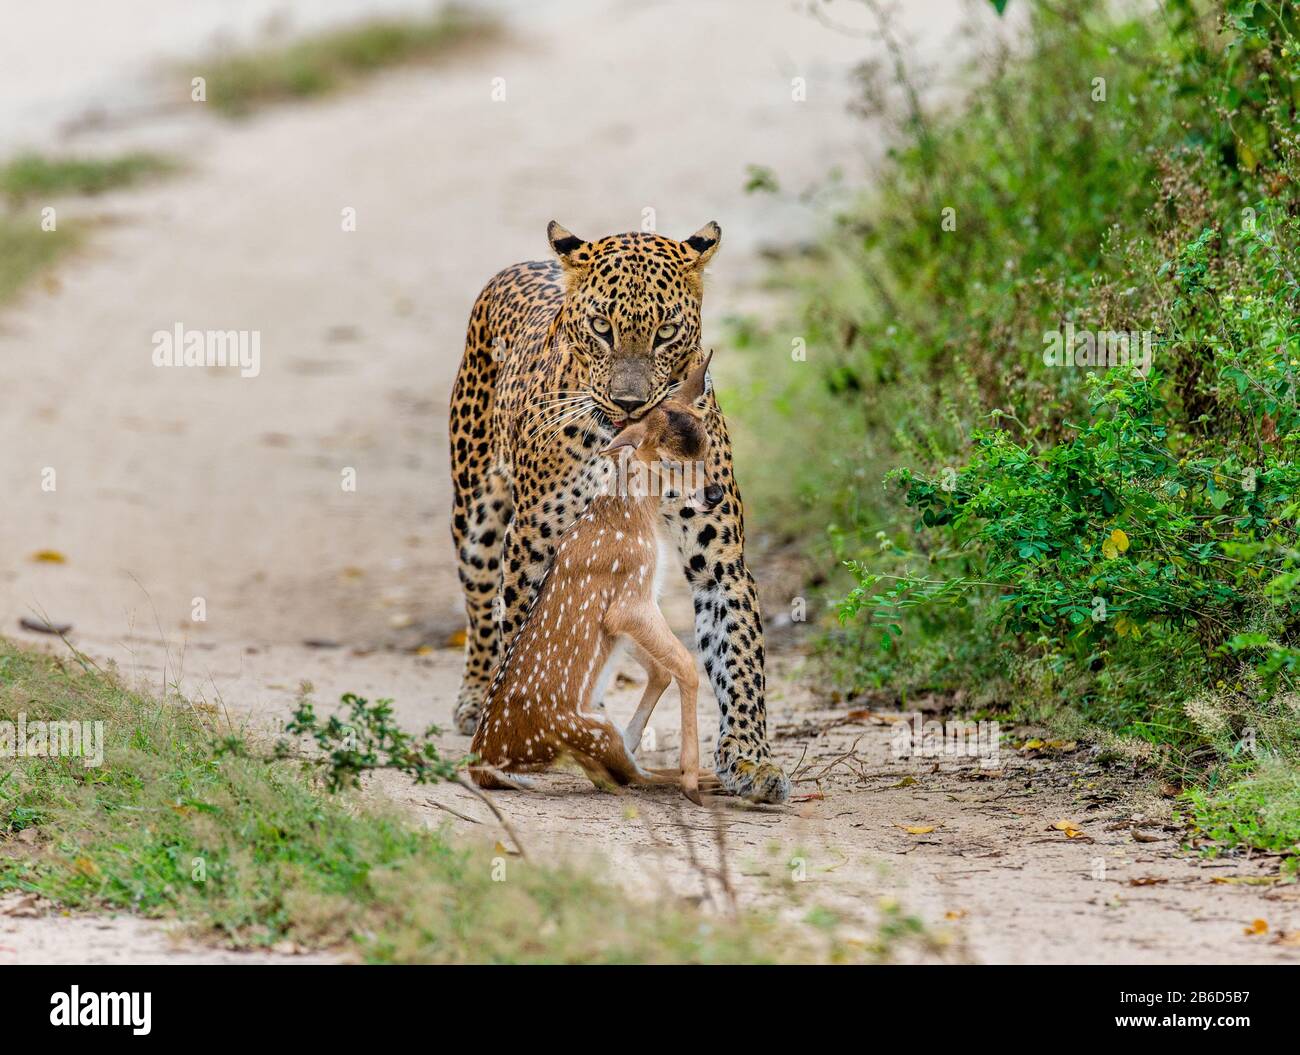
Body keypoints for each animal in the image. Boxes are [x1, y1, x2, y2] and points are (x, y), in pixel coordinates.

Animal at [448, 220, 790, 804]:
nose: (629, 402)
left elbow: (739, 652)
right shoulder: (535, 542)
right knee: (482, 610)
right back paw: (477, 700)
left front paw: (751, 757)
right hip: (476, 521)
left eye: (666, 331)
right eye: (601, 328)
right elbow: (528, 639)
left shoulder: (719, 558)